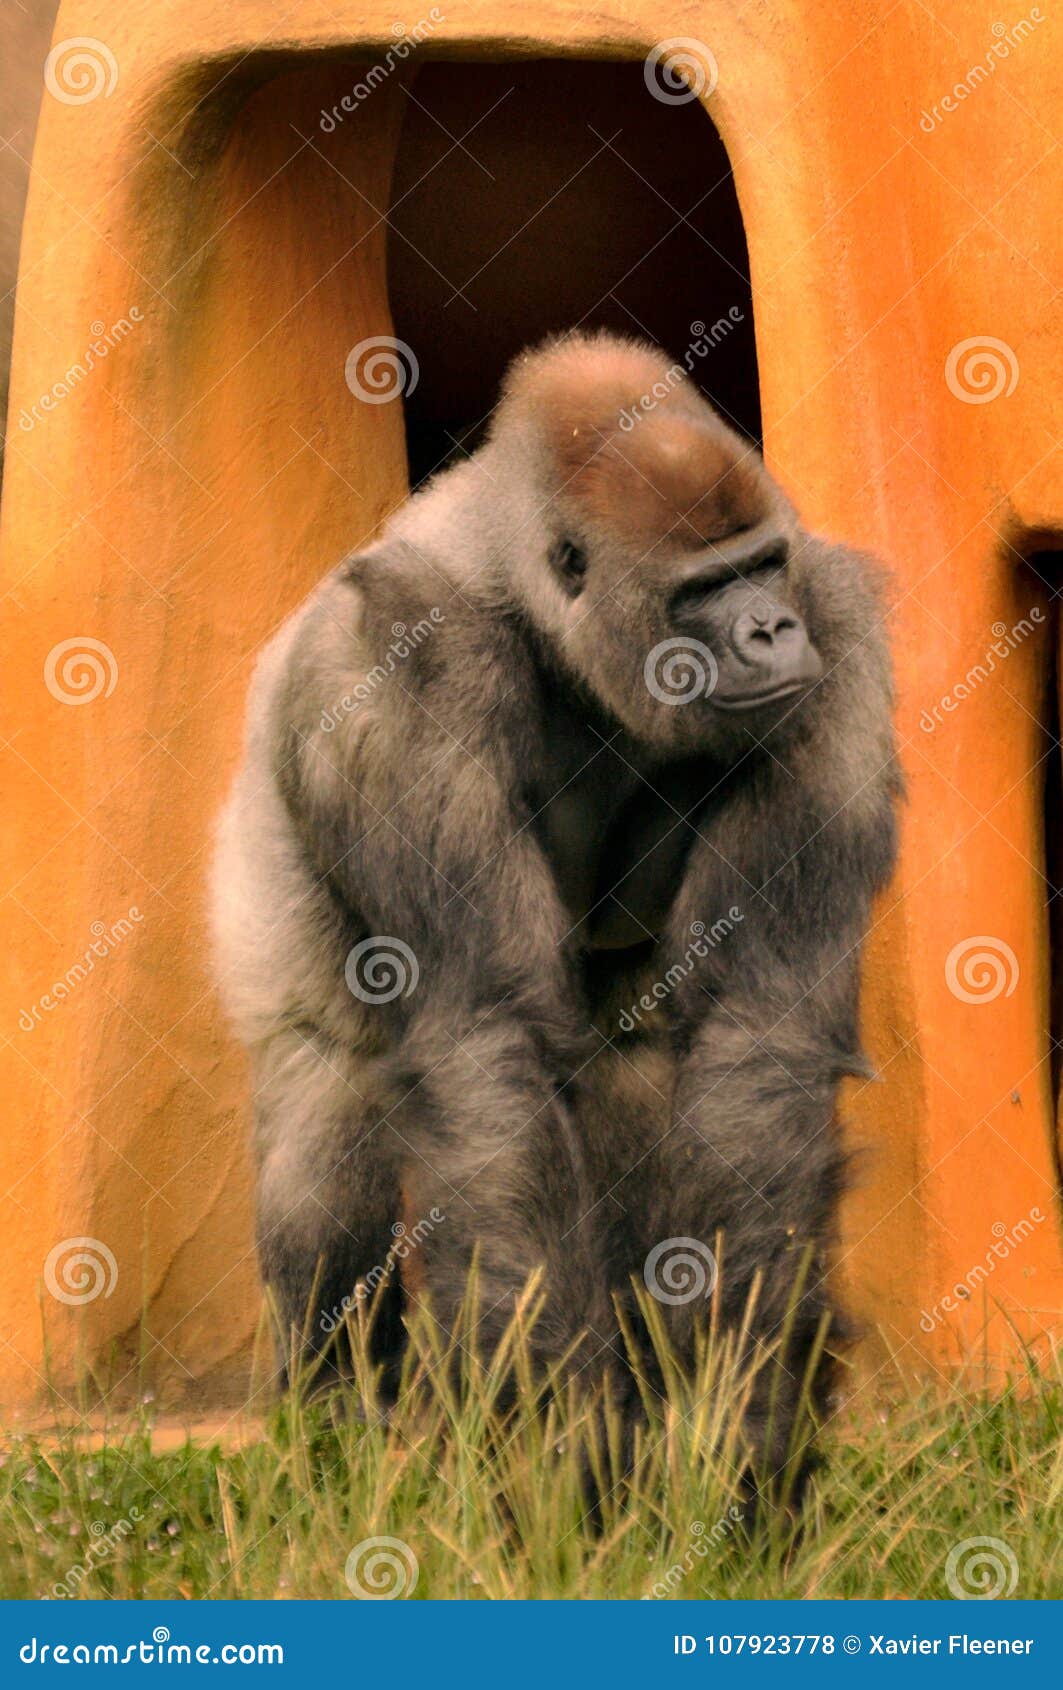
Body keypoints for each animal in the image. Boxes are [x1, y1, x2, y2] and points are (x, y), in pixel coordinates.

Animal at [210, 329, 899, 1476]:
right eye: (702, 589)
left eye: (761, 568)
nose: (768, 629)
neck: (541, 616)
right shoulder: (399, 662)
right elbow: (488, 1041)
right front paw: (561, 1460)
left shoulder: (833, 628)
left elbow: (756, 1032)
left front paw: (736, 1424)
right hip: (258, 889)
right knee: (329, 1092)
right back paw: (337, 1418)